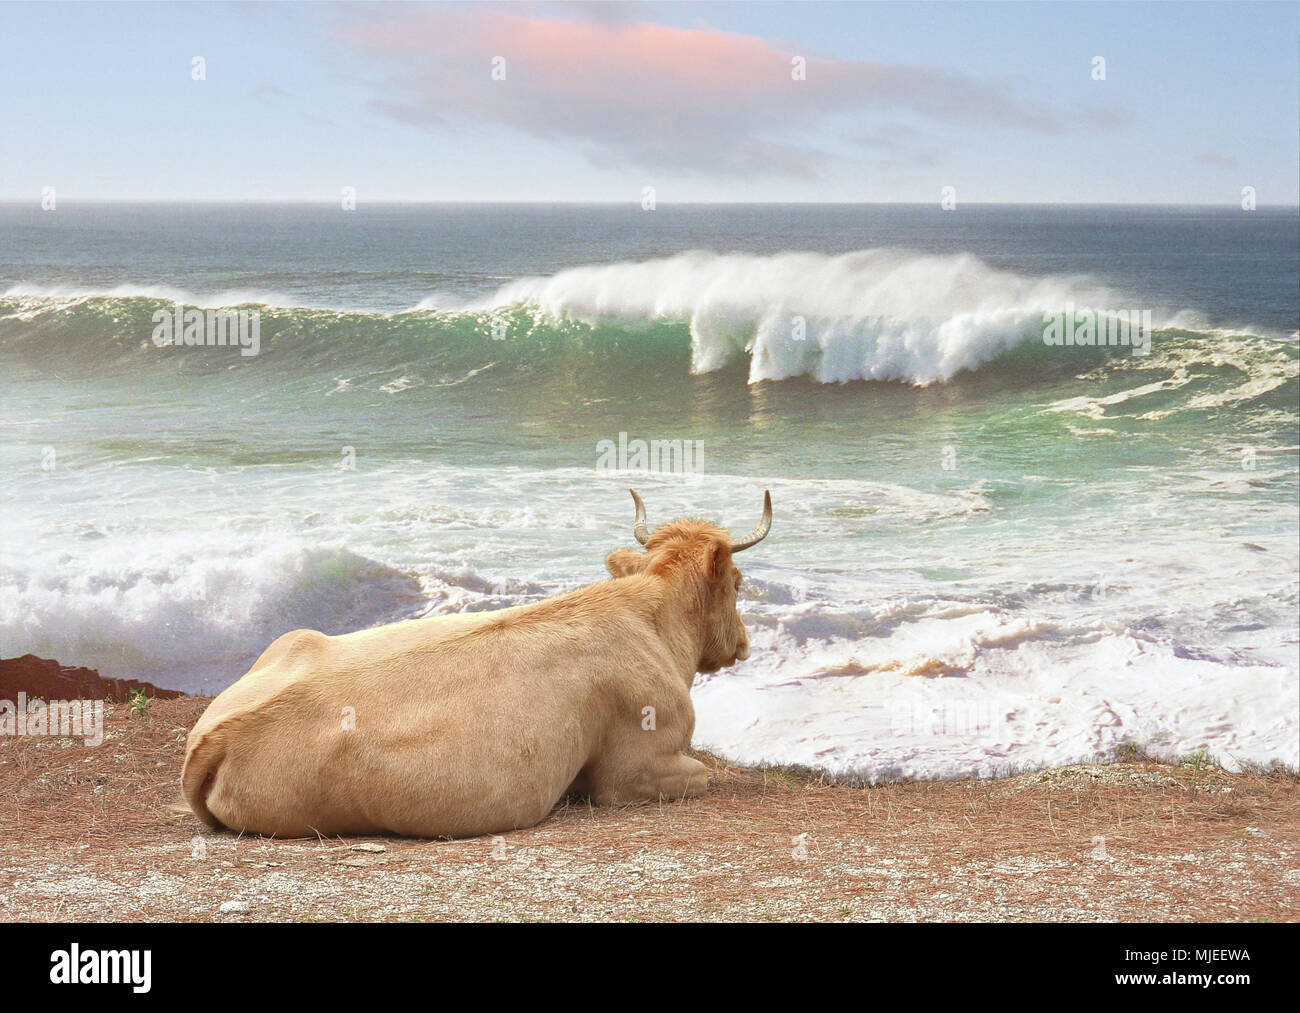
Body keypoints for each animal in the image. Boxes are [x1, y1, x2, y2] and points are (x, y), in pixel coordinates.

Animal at [181, 489, 772, 838]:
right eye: (738, 582)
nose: (745, 642)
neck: (651, 617)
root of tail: (215, 734)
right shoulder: (634, 771)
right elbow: (706, 774)